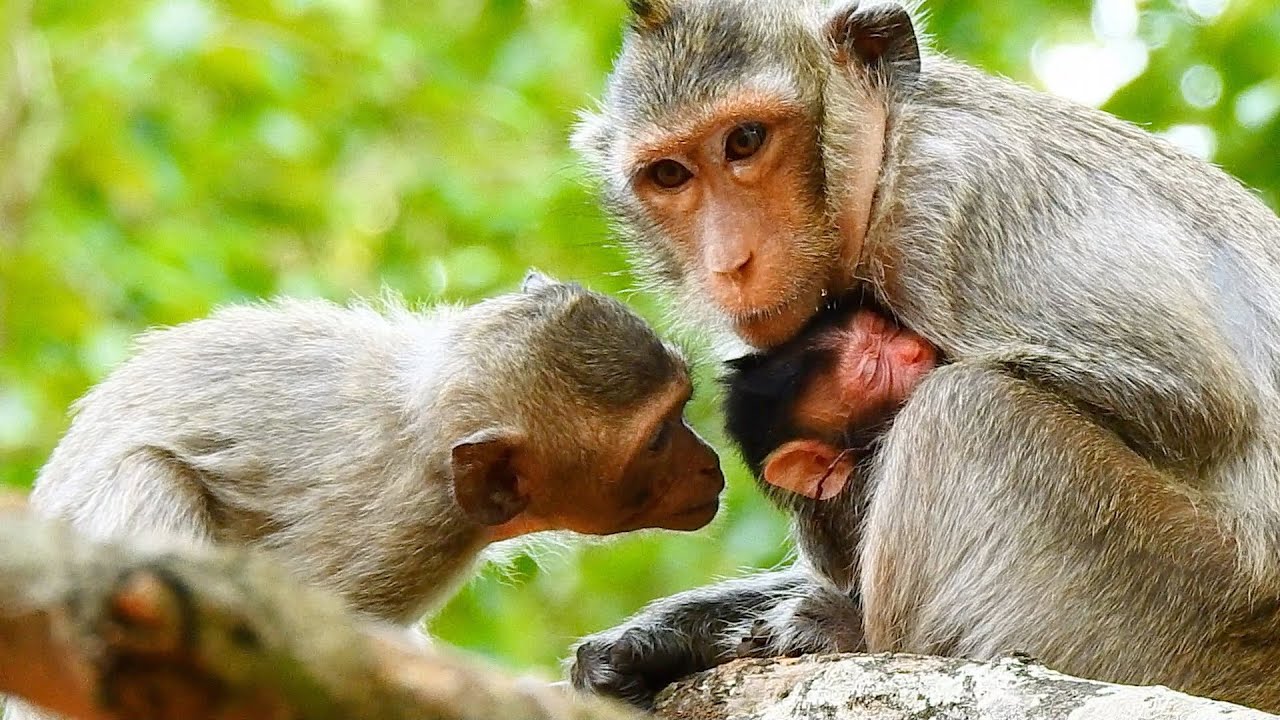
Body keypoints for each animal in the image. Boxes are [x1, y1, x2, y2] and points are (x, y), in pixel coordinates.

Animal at [569, 0, 1280, 712]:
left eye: (745, 141)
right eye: (670, 174)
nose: (729, 262)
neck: (883, 160)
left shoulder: (957, 200)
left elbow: (1189, 398)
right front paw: (664, 637)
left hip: (1194, 608)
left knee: (967, 407)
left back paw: (856, 631)